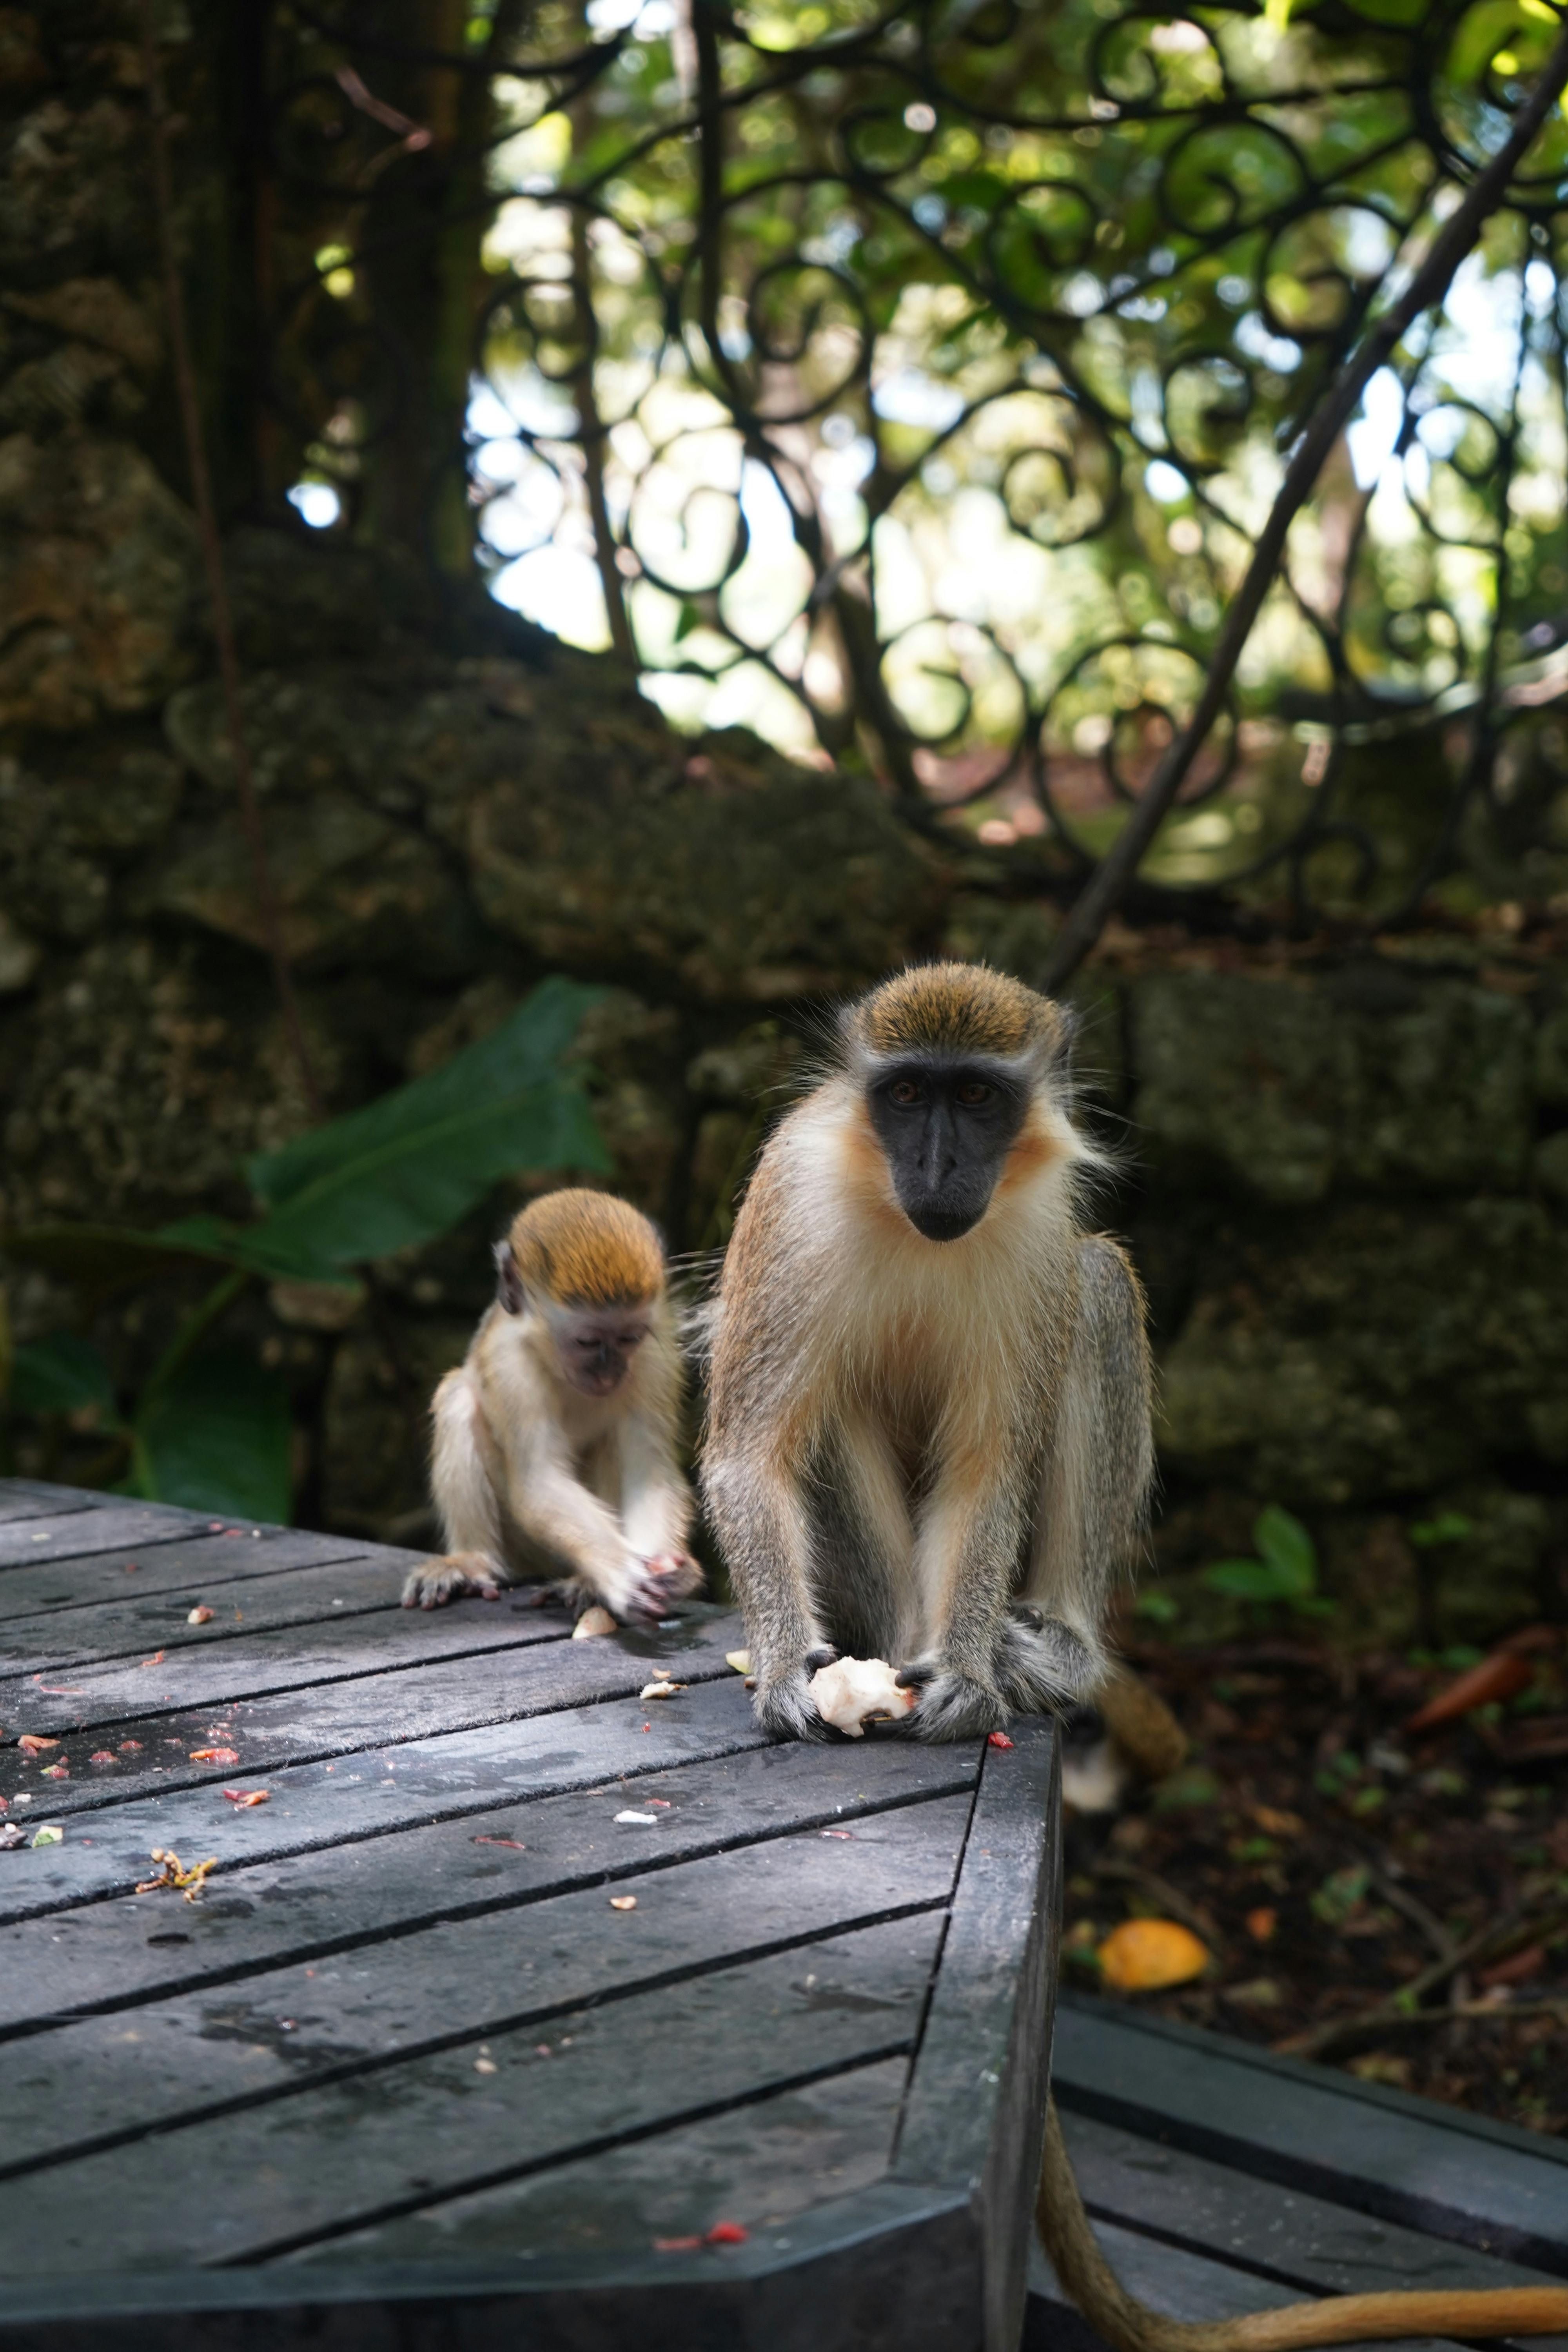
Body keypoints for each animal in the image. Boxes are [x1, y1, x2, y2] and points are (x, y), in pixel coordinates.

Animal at [400, 1189, 702, 1624]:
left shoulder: (654, 1353)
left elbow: (649, 1472)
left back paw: (586, 1582)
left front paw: (669, 1571)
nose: (610, 1372)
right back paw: (472, 1559)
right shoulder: (511, 1366)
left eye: (629, 1337)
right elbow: (538, 1479)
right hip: (523, 1547)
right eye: (587, 1342)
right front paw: (620, 1573)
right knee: (458, 1397)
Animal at [701, 962, 1153, 1744]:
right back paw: (910, 1638)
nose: (938, 1165)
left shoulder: (1040, 1231)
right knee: (830, 1394)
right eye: (907, 1094)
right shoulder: (793, 1200)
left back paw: (1056, 1645)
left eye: (976, 1095)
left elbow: (984, 1473)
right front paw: (786, 1668)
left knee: (1098, 1284)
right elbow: (748, 1458)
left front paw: (965, 1672)